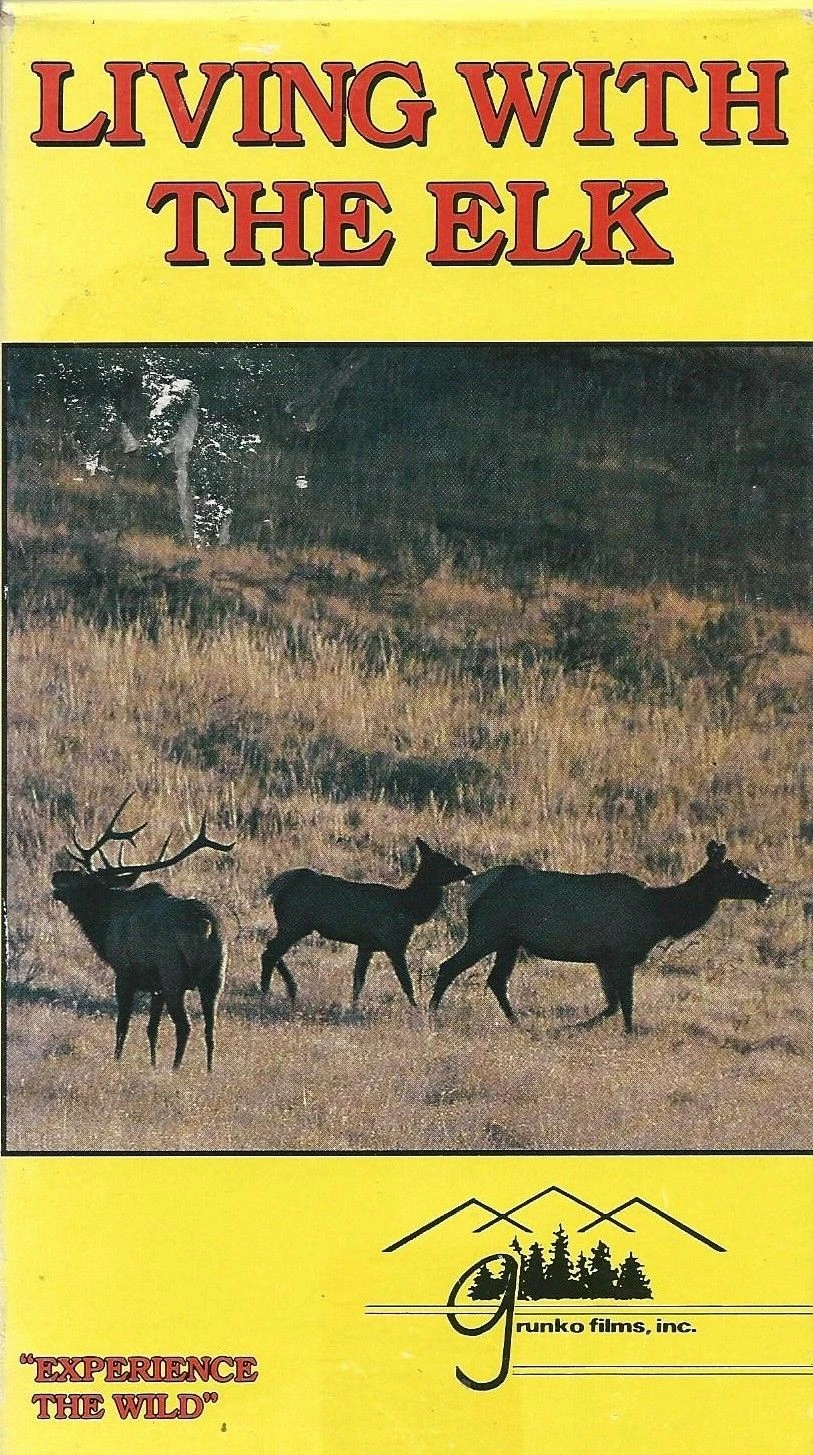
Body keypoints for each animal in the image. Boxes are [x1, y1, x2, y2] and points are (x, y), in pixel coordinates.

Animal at [51, 795, 234, 1071]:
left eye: (81, 879)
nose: (55, 876)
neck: (104, 927)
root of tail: (206, 927)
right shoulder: (156, 986)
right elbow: (152, 1029)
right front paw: (153, 1064)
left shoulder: (125, 972)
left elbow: (122, 1025)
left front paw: (117, 1060)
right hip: (215, 975)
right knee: (210, 1028)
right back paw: (209, 1070)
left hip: (173, 973)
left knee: (185, 1026)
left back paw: (176, 1068)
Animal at [260, 838, 472, 1008]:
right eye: (445, 862)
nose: (468, 870)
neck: (411, 909)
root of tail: (277, 886)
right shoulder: (394, 943)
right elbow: (406, 981)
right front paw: (416, 1008)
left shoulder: (366, 944)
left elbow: (359, 980)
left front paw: (353, 1006)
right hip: (296, 923)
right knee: (270, 952)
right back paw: (267, 992)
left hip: (292, 925)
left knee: (272, 949)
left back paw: (289, 990)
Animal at [429, 841, 771, 1033]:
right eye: (737, 872)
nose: (766, 889)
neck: (660, 916)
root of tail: (473, 887)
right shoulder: (622, 954)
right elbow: (625, 1004)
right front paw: (625, 1034)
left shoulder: (604, 958)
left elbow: (612, 1004)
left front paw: (576, 1026)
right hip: (487, 932)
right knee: (448, 967)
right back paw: (432, 1014)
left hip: (510, 941)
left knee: (497, 980)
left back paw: (516, 1022)